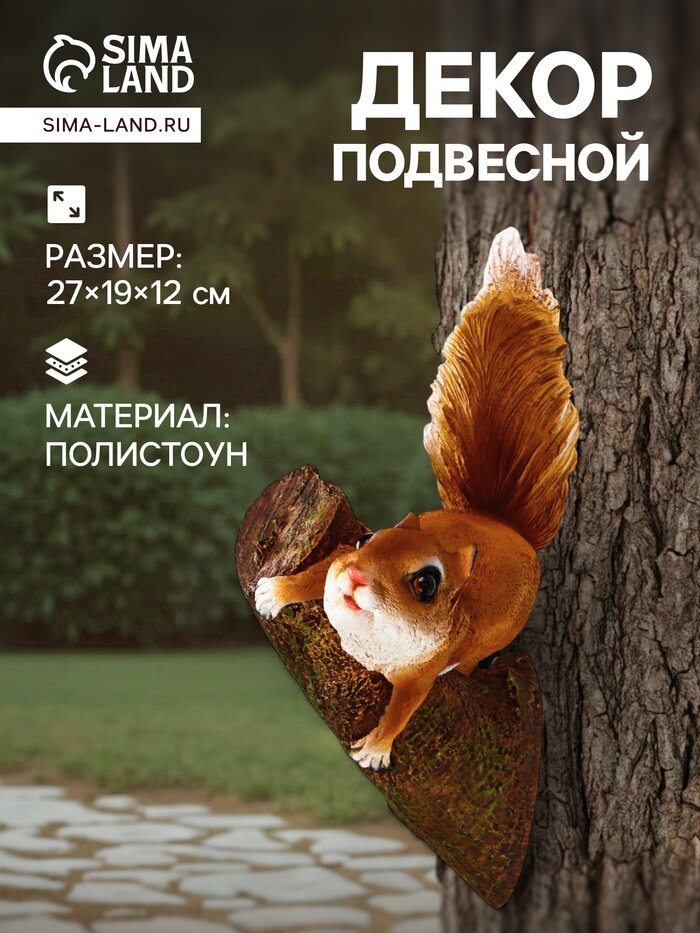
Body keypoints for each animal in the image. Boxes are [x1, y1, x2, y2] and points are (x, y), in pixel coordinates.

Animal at [255, 227, 579, 771]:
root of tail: (500, 525)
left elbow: (403, 708)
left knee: (470, 661)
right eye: (364, 538)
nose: (358, 579)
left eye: (426, 584)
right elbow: (318, 573)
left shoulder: (419, 674)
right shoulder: (337, 562)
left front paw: (375, 748)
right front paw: (276, 591)